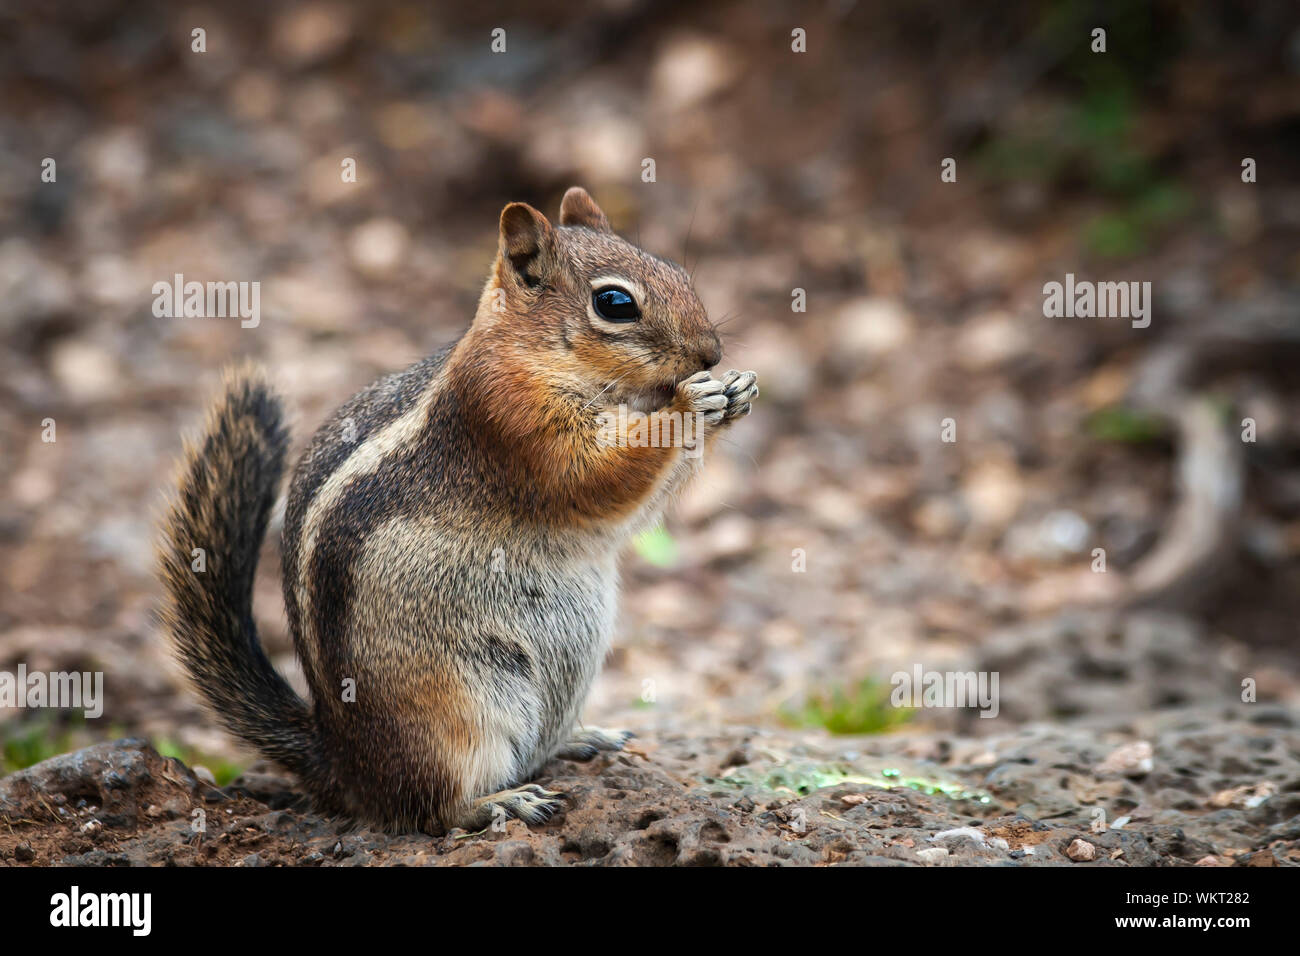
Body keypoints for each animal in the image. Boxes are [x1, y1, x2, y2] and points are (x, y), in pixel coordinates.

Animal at [156, 187, 759, 832]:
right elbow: (594, 477)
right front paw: (690, 404)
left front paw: (734, 392)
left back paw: (580, 739)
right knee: (430, 808)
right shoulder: (509, 417)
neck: (526, 350)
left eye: (680, 274)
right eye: (615, 303)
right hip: (454, 714)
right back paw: (499, 801)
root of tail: (344, 764)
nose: (711, 352)